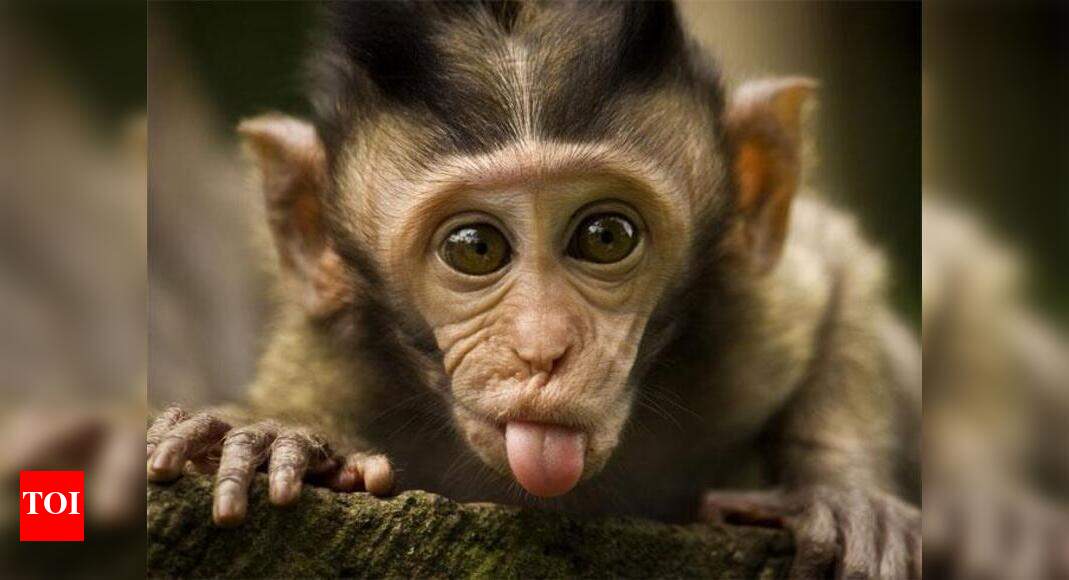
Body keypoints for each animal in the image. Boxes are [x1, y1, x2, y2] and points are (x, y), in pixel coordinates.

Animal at [147, 2, 920, 578]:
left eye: (605, 236)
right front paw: (276, 437)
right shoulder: (332, 358)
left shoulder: (750, 325)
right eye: (475, 248)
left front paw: (841, 494)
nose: (542, 350)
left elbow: (840, 269)